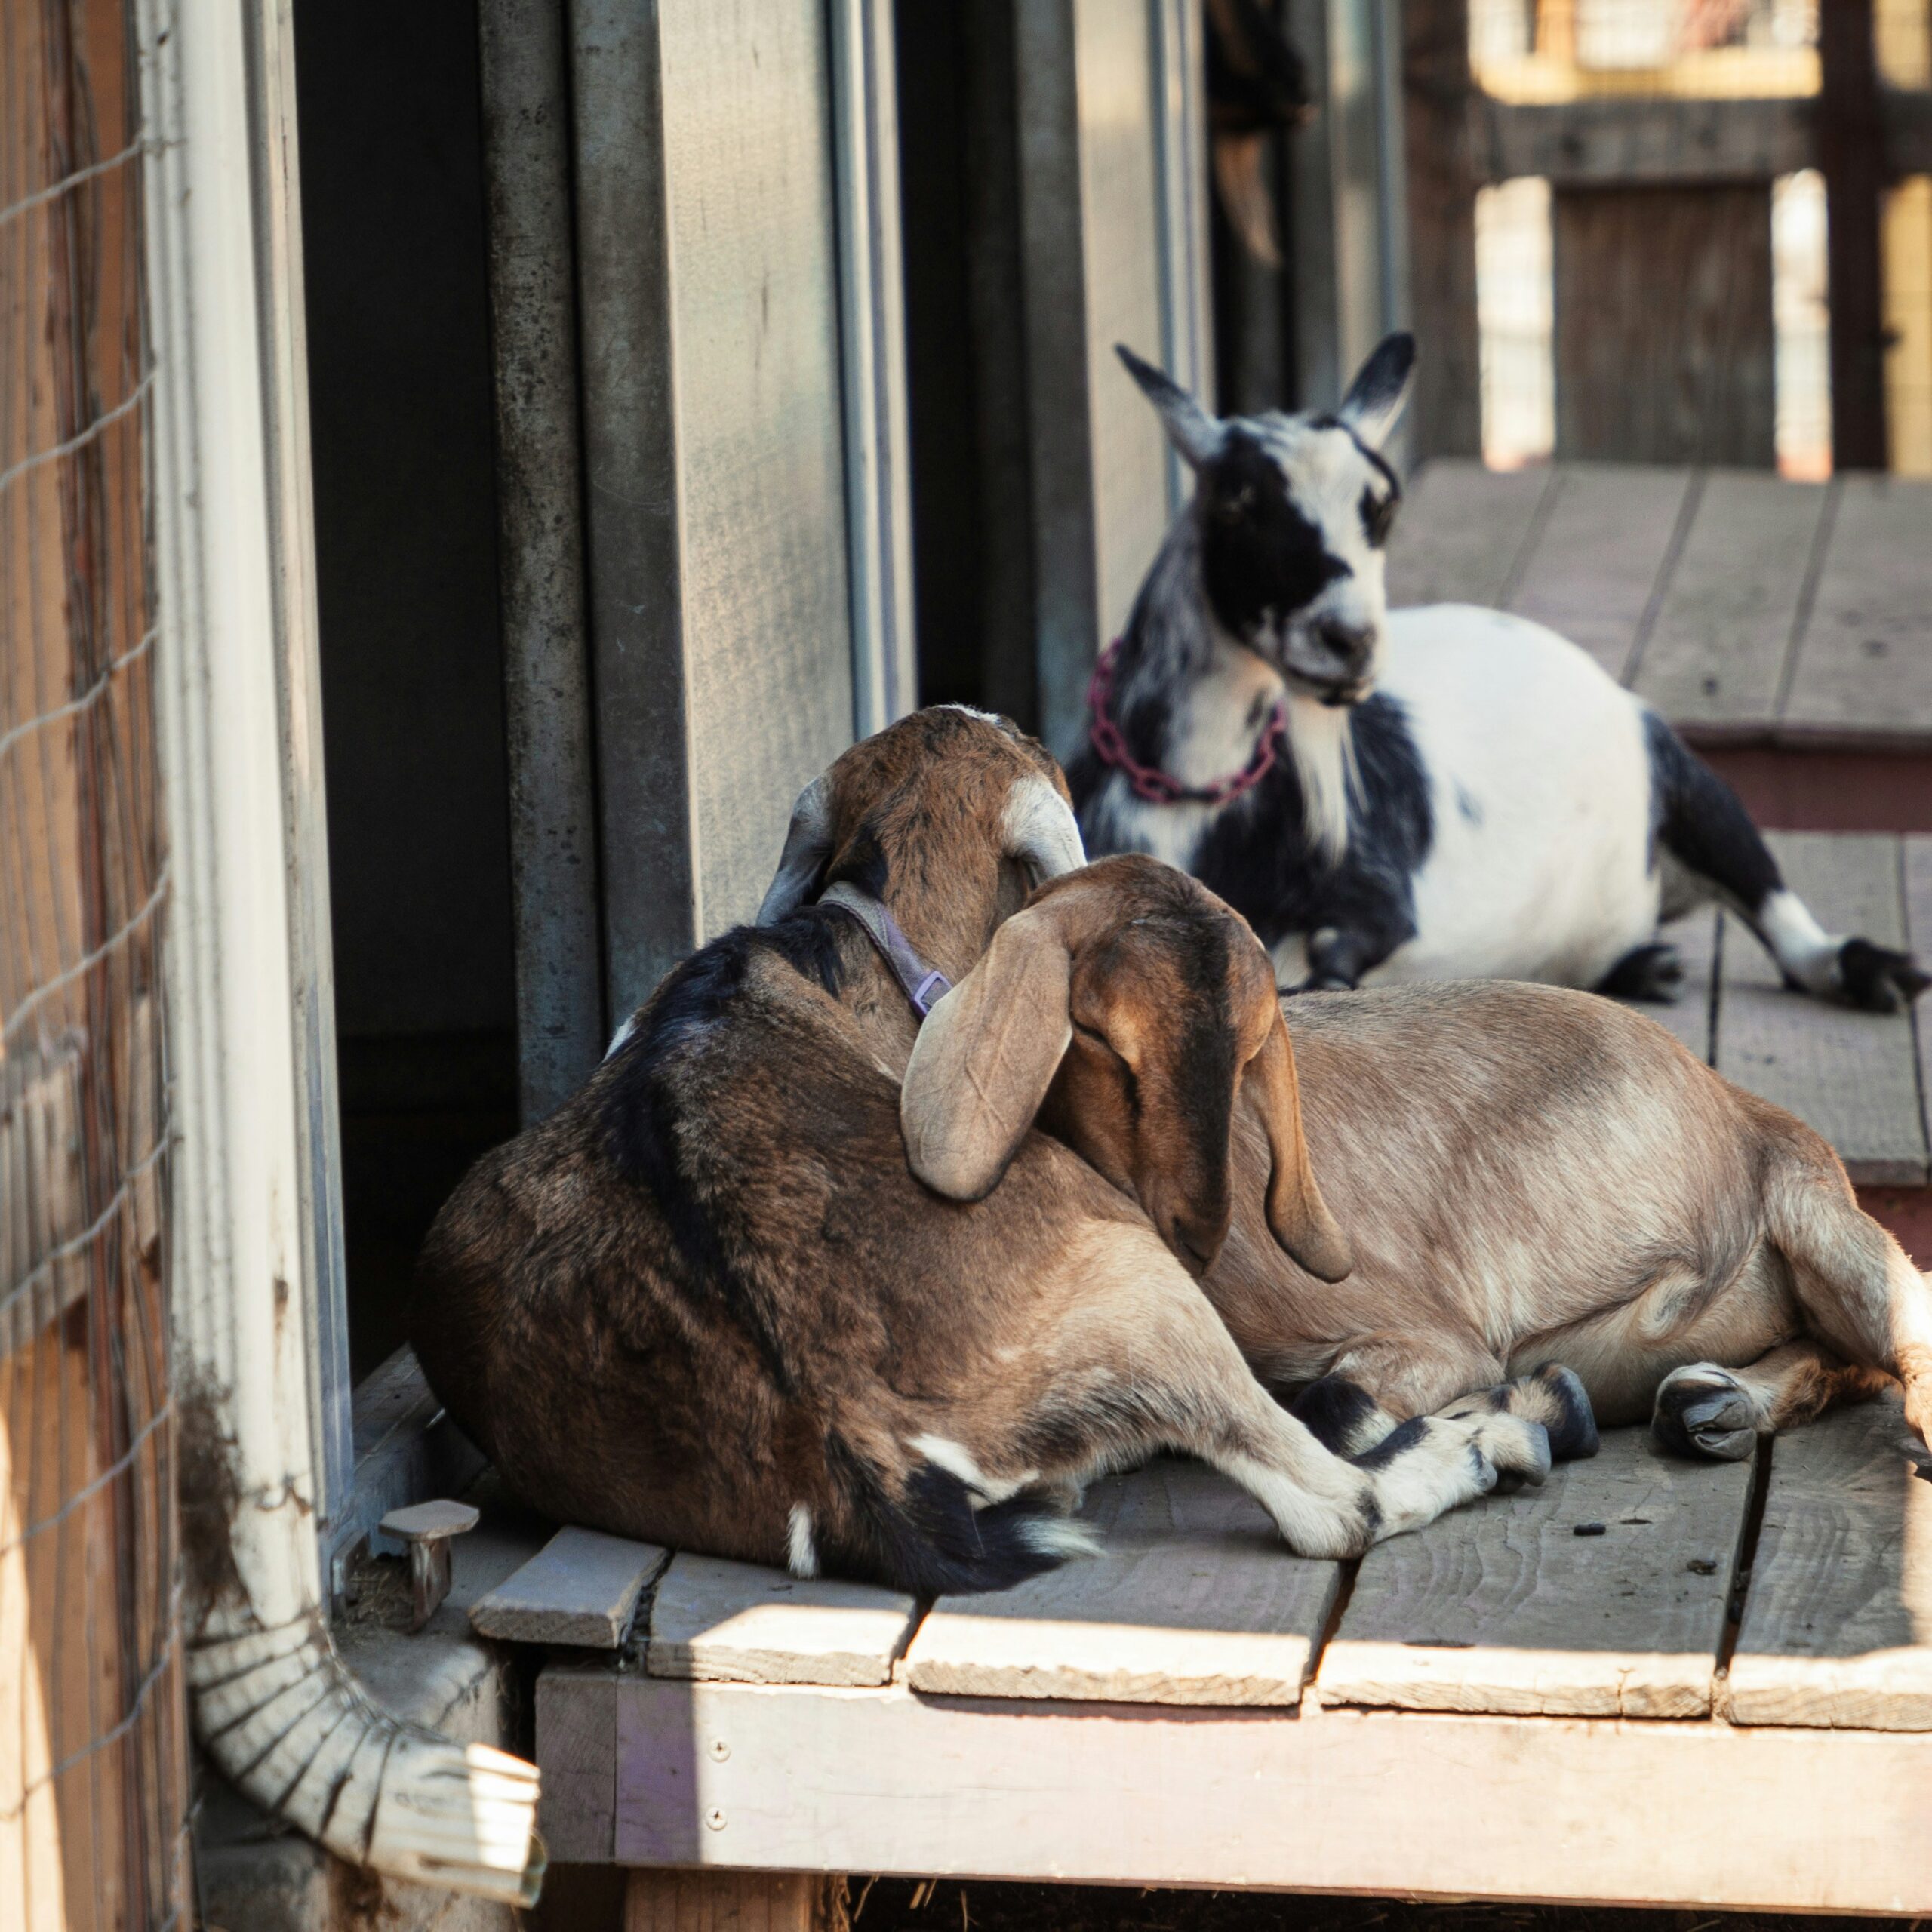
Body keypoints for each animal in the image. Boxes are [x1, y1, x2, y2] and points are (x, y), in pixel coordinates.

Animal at [903, 852, 1932, 1464]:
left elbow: (1334, 1406)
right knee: (1832, 1354)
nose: (1199, 1226)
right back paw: (1714, 1406)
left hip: (1824, 1226)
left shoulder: (1429, 1331)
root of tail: (1747, 1111)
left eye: (1248, 1048)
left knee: (1893, 1332)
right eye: (1098, 1039)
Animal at [1070, 337, 1928, 1014]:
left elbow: (1325, 967)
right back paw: (1645, 964)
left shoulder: (1378, 902)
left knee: (1779, 913)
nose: (1348, 640)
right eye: (1235, 502)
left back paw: (1871, 972)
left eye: (1383, 506)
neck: (1191, 796)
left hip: (1688, 780)